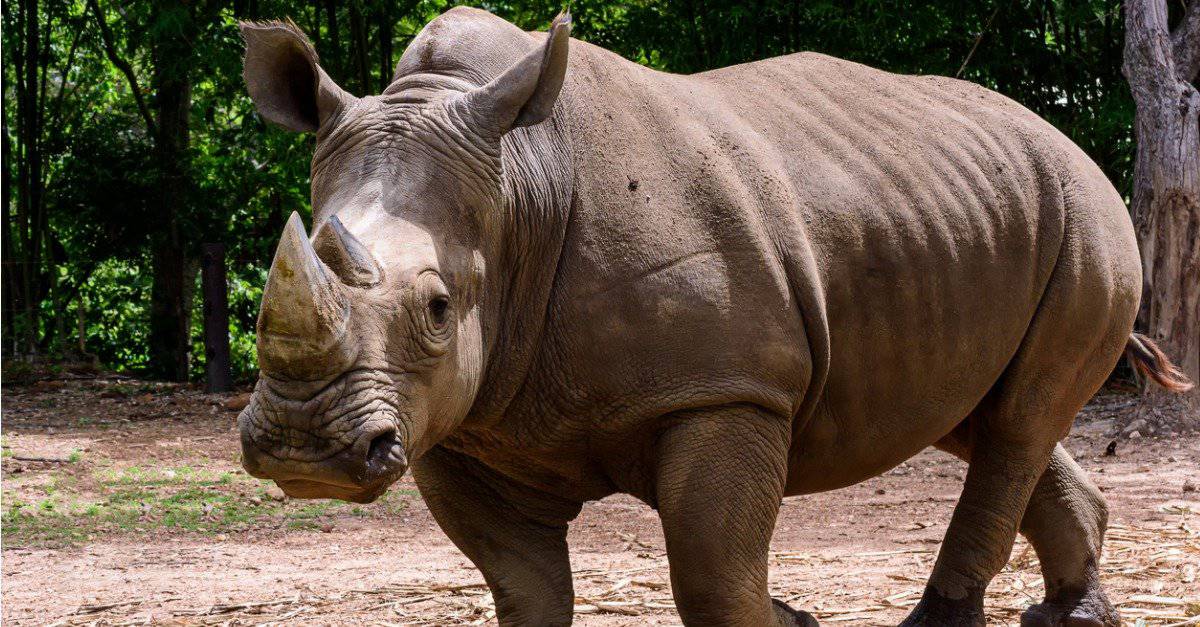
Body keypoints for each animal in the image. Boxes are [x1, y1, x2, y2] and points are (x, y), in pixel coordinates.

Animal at [236, 8, 1192, 627]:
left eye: (438, 308)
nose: (305, 450)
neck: (521, 186)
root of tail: (1071, 144)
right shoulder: (466, 421)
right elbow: (525, 588)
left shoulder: (725, 387)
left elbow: (711, 574)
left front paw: (779, 615)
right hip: (963, 221)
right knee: (979, 413)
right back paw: (1073, 613)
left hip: (1088, 214)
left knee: (1018, 420)